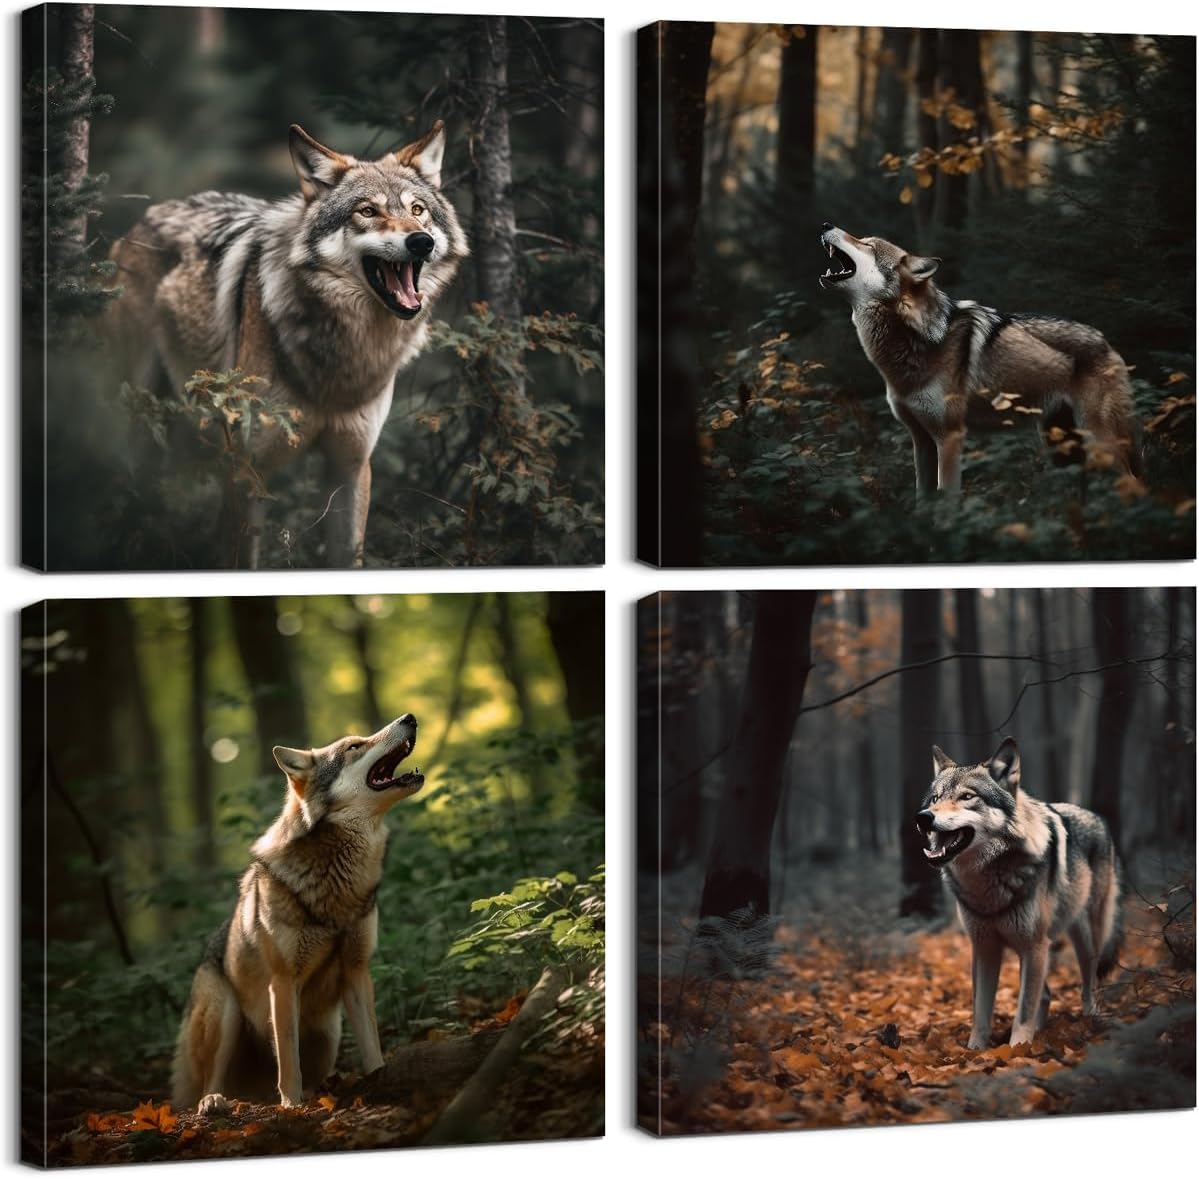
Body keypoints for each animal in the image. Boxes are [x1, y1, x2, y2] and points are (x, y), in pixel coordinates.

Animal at [107, 124, 468, 567]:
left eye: (418, 210)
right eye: (367, 211)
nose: (421, 242)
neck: (341, 362)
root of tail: (143, 219)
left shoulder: (351, 466)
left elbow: (348, 557)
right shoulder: (247, 467)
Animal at [172, 714, 424, 1112]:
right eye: (354, 746)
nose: (409, 717)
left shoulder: (356, 972)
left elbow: (371, 1046)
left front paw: (379, 1079)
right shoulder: (283, 982)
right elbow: (289, 1059)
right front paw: (291, 1105)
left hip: (328, 1032)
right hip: (226, 1013)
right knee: (211, 1081)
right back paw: (213, 1102)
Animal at [819, 224, 1142, 493]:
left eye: (867, 244)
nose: (825, 224)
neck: (915, 337)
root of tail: (1107, 342)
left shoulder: (949, 437)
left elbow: (947, 499)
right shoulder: (921, 441)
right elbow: (924, 500)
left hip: (1100, 443)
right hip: (1061, 447)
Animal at [915, 737, 1123, 1048]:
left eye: (967, 797)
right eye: (935, 799)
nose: (923, 818)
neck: (989, 881)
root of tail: (1096, 816)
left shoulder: (1034, 944)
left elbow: (1023, 1008)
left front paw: (1018, 1049)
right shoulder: (985, 947)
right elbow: (981, 1010)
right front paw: (976, 1050)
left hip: (1082, 938)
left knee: (1089, 984)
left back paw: (1091, 1019)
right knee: (1045, 993)